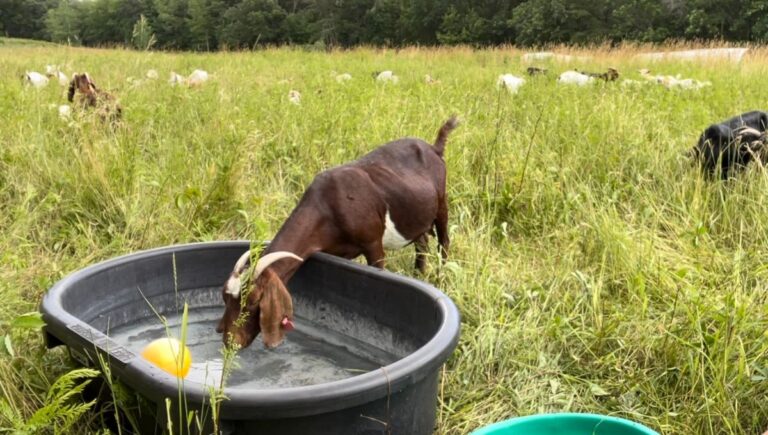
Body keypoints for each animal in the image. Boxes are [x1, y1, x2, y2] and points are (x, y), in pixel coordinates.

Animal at [216, 116, 460, 349]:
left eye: (253, 301)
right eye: (225, 297)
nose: (230, 342)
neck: (328, 205)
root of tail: (433, 147)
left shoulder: (373, 243)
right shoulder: (335, 252)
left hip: (441, 203)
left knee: (444, 241)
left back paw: (441, 277)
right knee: (422, 242)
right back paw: (420, 273)